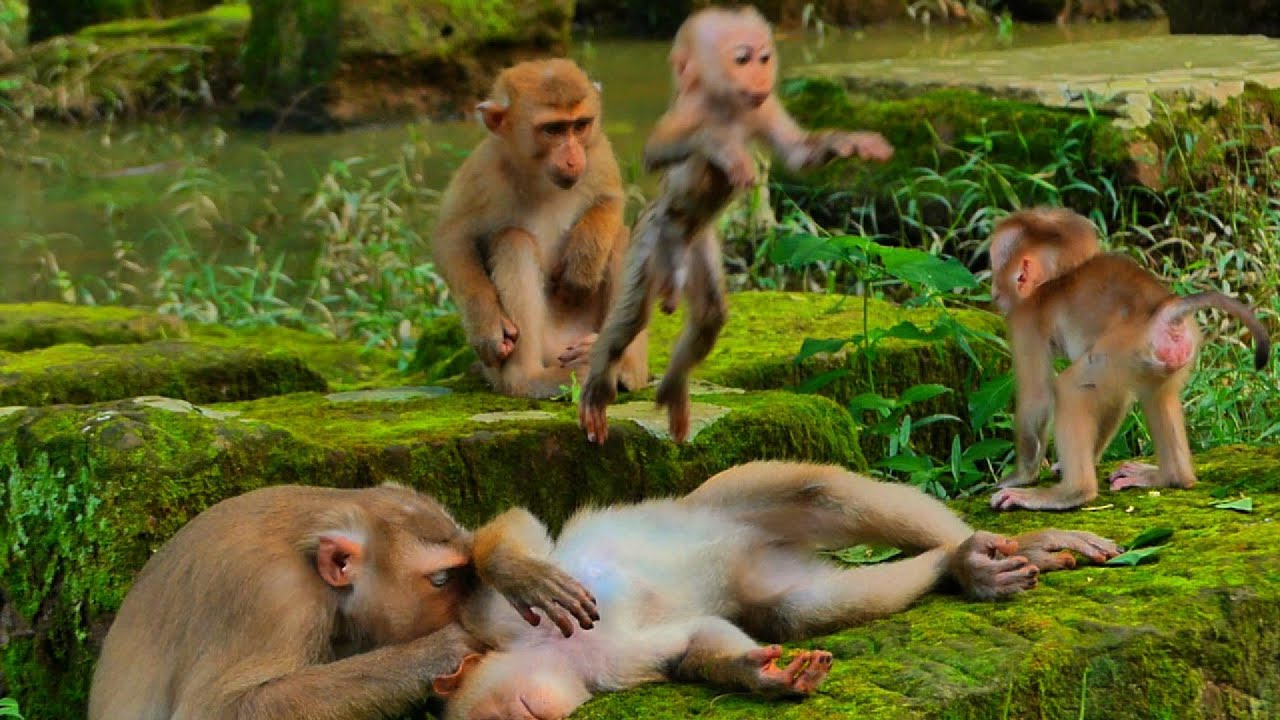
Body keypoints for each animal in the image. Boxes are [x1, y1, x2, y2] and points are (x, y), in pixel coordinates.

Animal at [88, 483, 600, 720]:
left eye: (461, 572)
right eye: (441, 580)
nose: (466, 607)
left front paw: (512, 567)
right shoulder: (273, 598)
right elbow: (218, 711)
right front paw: (444, 648)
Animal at [432, 58, 648, 400]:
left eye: (580, 125)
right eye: (553, 129)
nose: (573, 159)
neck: (540, 176)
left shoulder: (597, 151)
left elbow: (609, 201)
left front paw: (583, 266)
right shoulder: (483, 169)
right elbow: (452, 238)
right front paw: (487, 325)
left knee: (622, 237)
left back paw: (624, 367)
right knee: (513, 240)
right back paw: (529, 379)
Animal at [433, 461, 1120, 720]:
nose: (541, 714)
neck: (554, 655)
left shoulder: (499, 625)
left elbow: (517, 530)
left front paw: (521, 572)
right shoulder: (612, 668)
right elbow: (695, 641)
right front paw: (761, 676)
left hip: (728, 497)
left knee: (817, 490)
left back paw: (995, 547)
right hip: (770, 576)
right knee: (796, 609)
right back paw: (960, 566)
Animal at [577, 6, 894, 445]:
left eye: (764, 58)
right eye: (742, 59)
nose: (761, 75)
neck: (725, 105)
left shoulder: (762, 108)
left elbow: (798, 157)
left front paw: (850, 143)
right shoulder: (689, 110)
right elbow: (657, 153)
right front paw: (721, 146)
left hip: (698, 251)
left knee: (709, 315)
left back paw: (674, 390)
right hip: (650, 241)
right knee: (629, 321)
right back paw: (597, 387)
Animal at [986, 207, 1272, 511]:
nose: (993, 290)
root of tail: (1165, 311)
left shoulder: (1024, 319)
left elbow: (1037, 396)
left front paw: (1022, 476)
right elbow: (1117, 399)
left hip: (1123, 348)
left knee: (1070, 389)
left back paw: (1071, 493)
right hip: (1167, 355)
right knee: (1156, 395)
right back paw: (1172, 477)